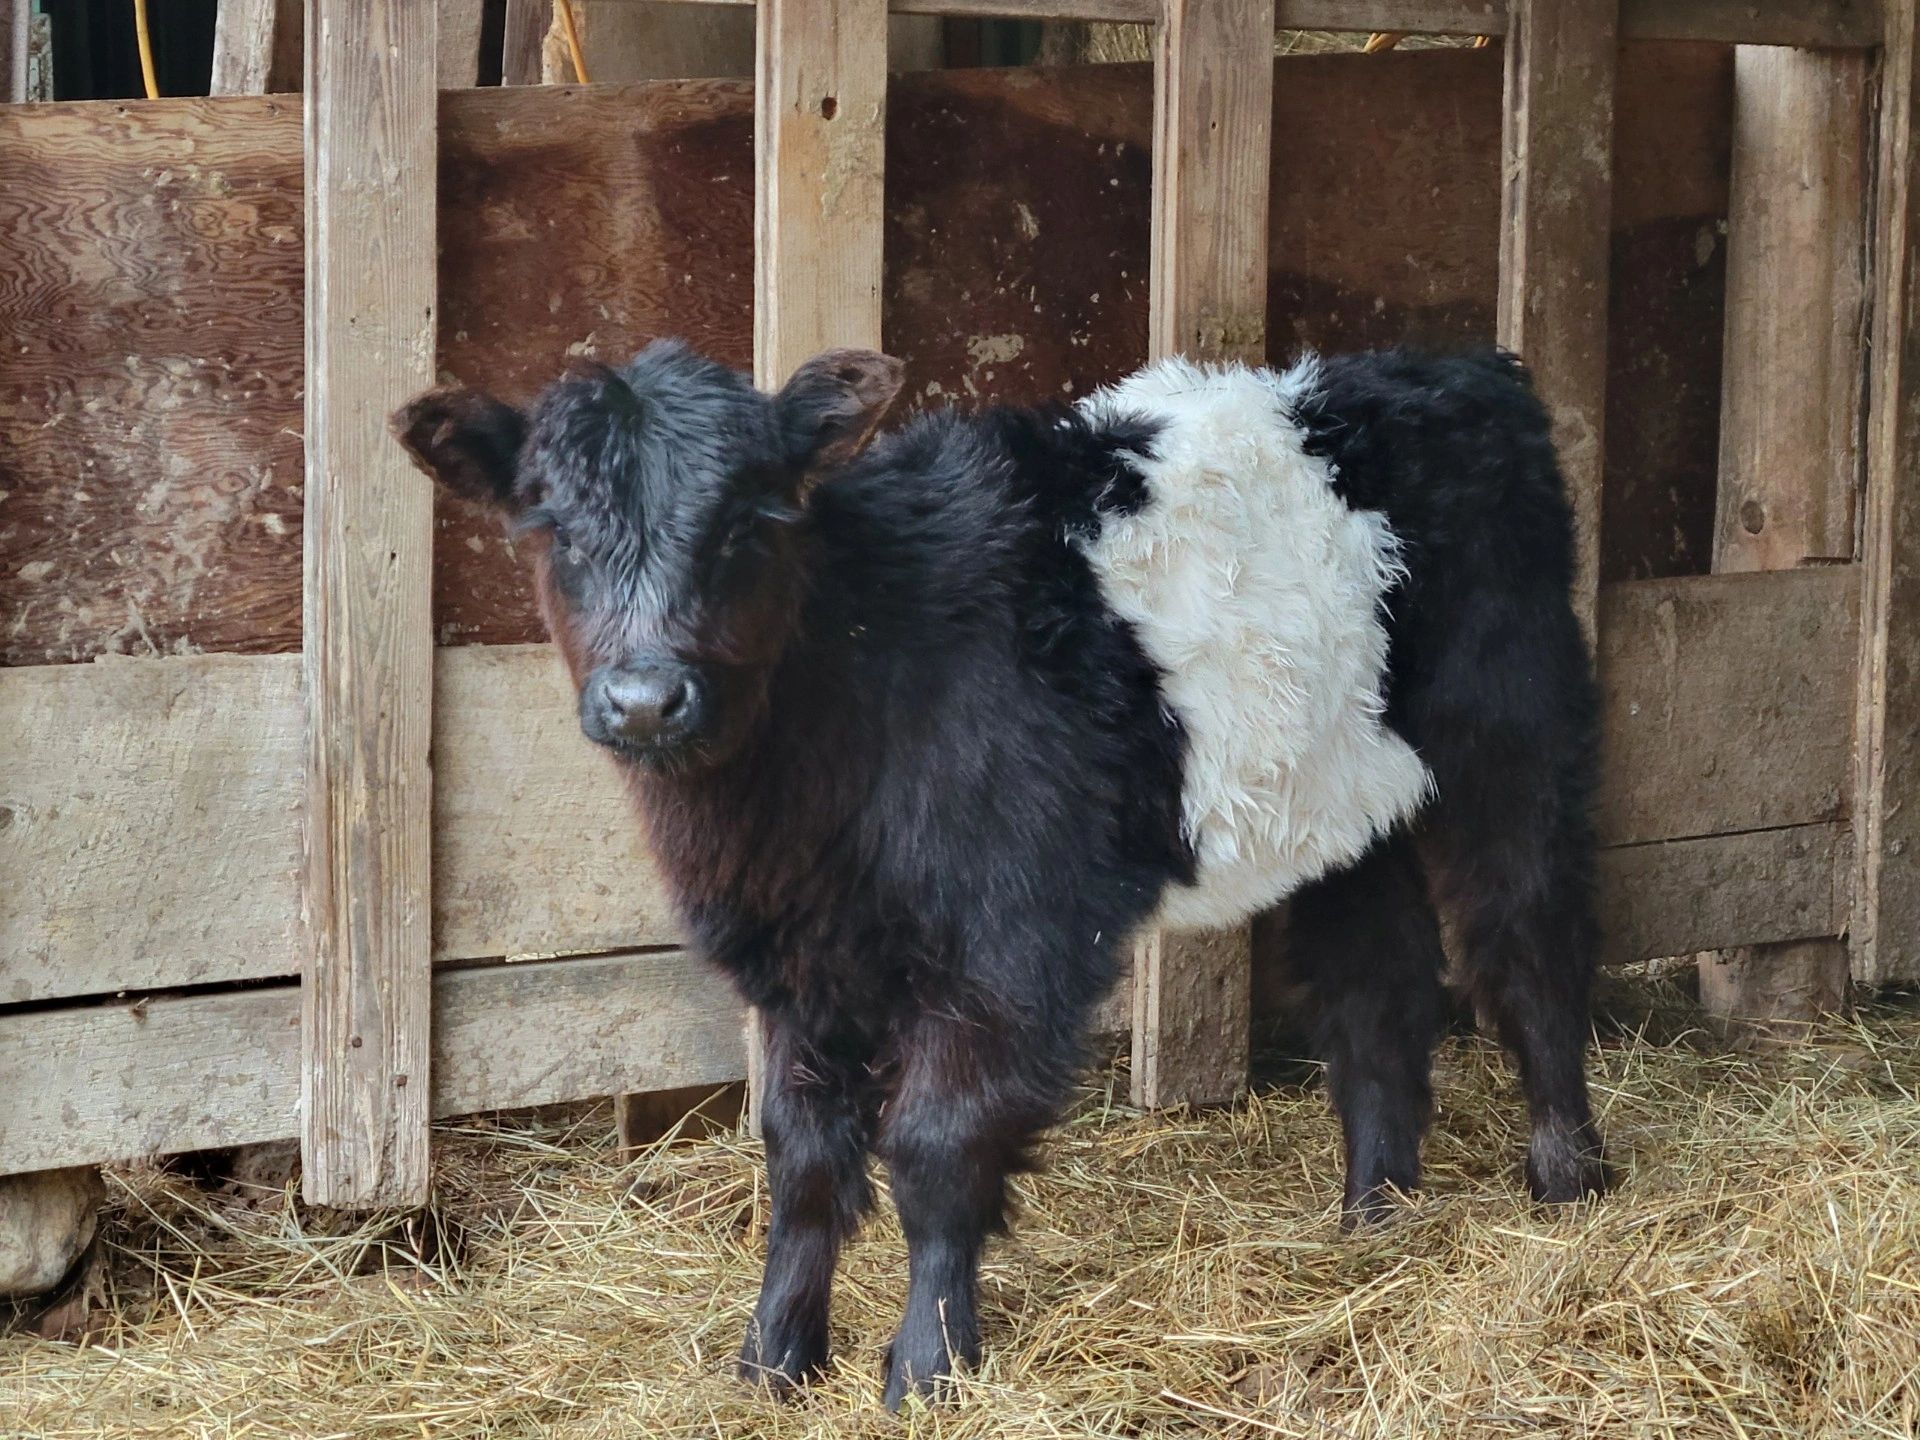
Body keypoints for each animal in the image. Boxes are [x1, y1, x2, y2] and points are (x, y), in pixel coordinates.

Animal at [392, 338, 1609, 1408]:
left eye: (750, 520)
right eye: (553, 527)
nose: (645, 700)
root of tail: (1462, 369)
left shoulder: (1009, 938)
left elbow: (936, 1150)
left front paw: (928, 1369)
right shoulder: (800, 958)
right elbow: (801, 1161)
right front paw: (774, 1361)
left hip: (1511, 727)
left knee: (1528, 941)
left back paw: (1569, 1180)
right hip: (1342, 796)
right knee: (1377, 986)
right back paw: (1374, 1220)